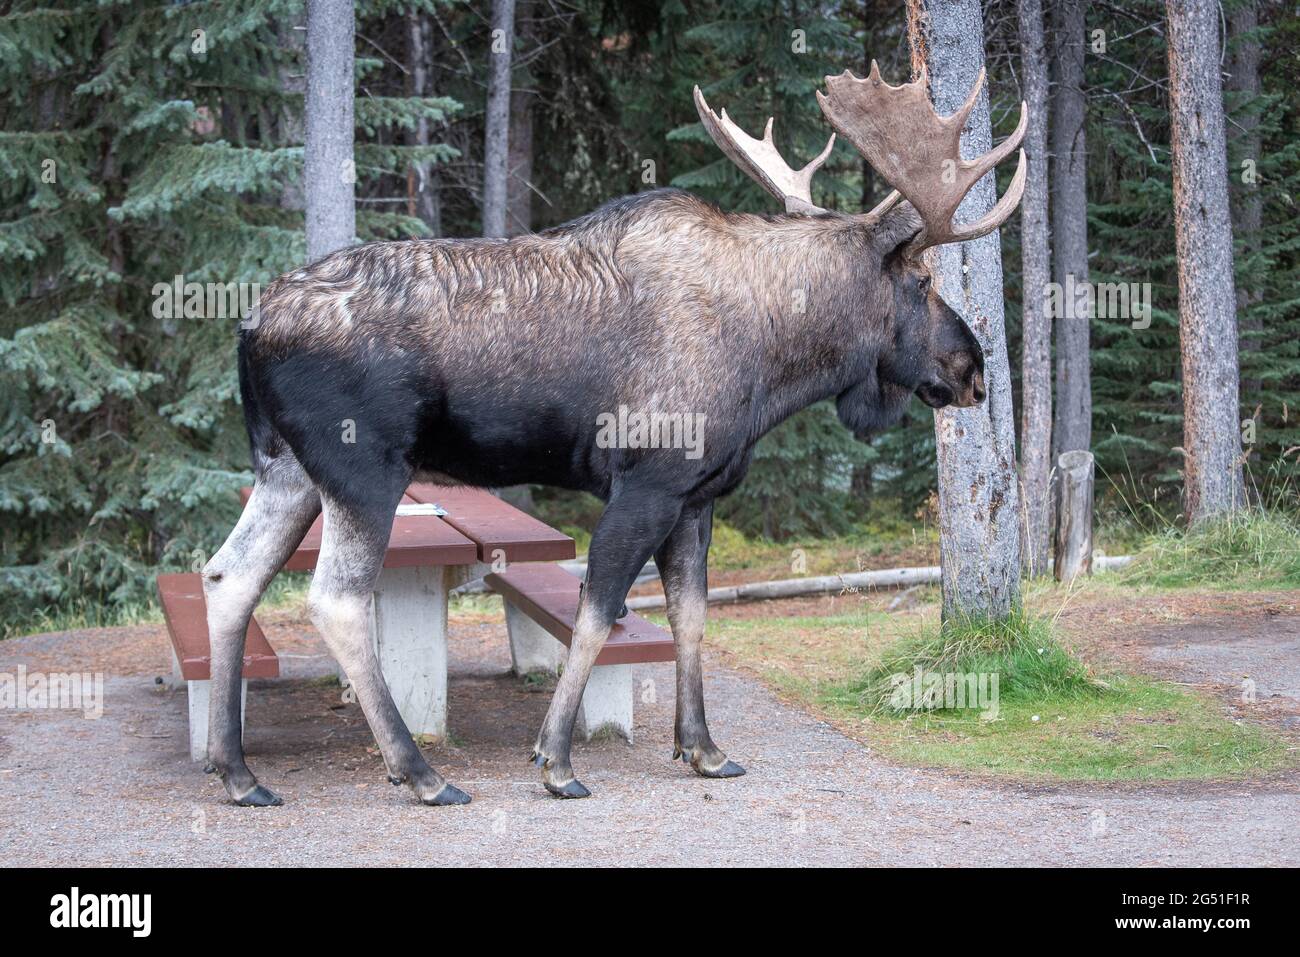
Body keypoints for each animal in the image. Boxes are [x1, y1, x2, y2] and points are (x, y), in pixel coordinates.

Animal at [201, 63, 1027, 806]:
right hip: (364, 468)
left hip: (287, 469)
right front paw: (556, 758)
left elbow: (691, 616)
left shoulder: (699, 496)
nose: (975, 370)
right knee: (334, 600)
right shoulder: (646, 484)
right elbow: (597, 613)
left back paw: (238, 771)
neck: (776, 360)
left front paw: (703, 748)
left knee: (227, 575)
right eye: (923, 282)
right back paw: (421, 772)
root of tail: (249, 326)